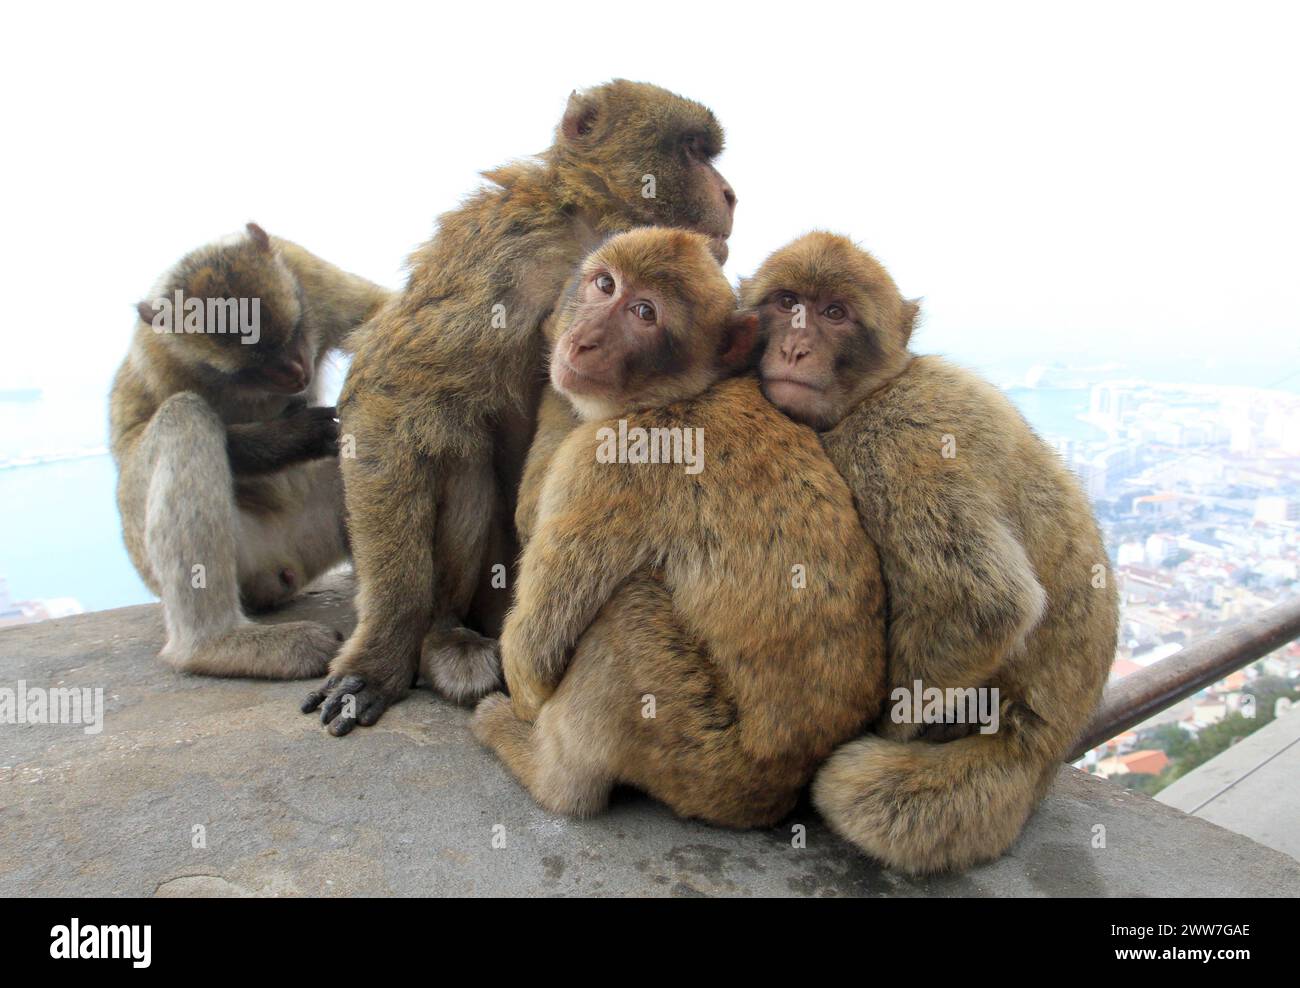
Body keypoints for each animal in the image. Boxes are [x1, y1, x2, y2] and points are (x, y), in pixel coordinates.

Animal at [110, 222, 391, 679]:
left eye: (293, 332)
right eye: (254, 365)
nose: (296, 371)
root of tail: (284, 566)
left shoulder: (304, 270)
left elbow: (382, 314)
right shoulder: (159, 356)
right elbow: (136, 435)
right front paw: (294, 434)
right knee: (182, 418)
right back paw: (216, 644)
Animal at [303, 81, 738, 734]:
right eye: (693, 151)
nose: (731, 193)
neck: (592, 226)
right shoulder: (507, 246)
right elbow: (394, 393)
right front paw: (381, 649)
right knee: (452, 439)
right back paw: (441, 634)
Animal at [469, 227, 887, 828]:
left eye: (645, 312)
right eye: (605, 285)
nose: (582, 340)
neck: (679, 396)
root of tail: (773, 794)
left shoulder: (602, 467)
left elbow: (540, 642)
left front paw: (523, 692)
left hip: (694, 748)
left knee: (624, 613)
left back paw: (540, 769)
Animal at [740, 231, 1119, 873]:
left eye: (834, 313)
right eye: (787, 302)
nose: (794, 346)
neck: (876, 391)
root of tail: (1046, 758)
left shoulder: (897, 443)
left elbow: (984, 603)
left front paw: (882, 729)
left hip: (996, 772)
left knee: (858, 789)